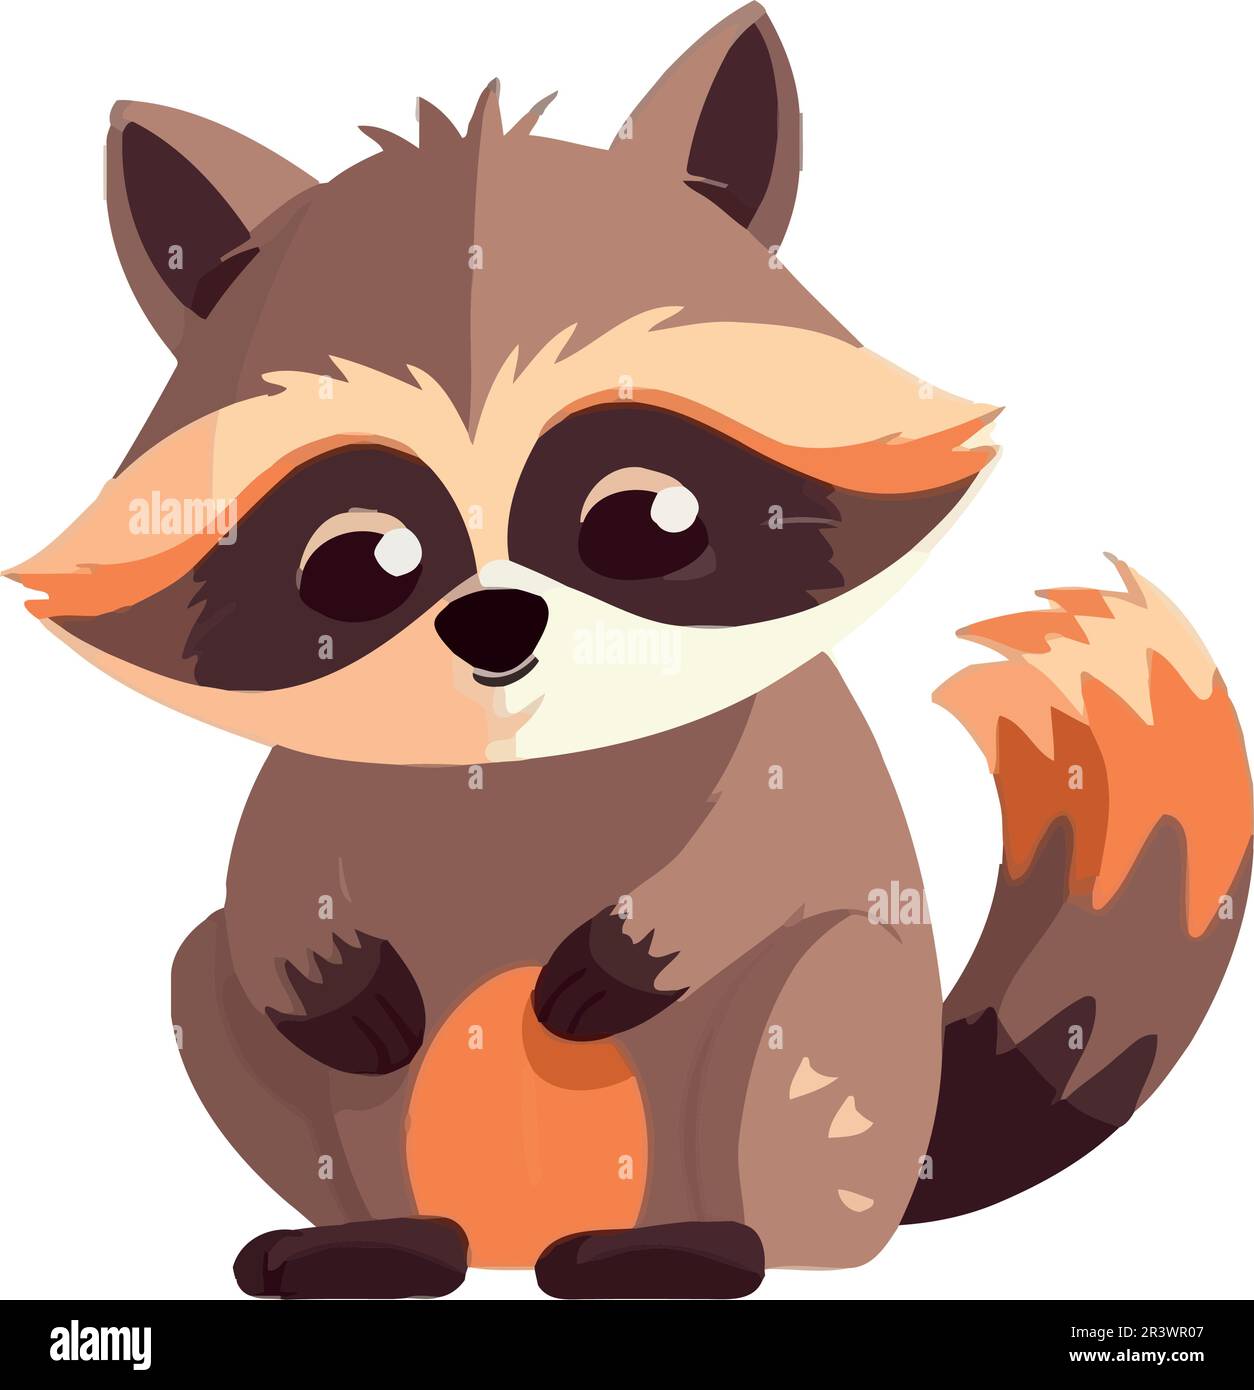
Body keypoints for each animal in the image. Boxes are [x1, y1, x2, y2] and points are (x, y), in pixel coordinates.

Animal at [8, 3, 1250, 1298]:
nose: (495, 626)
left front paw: (641, 942)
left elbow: (760, 840)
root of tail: (517, 1239)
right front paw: (314, 961)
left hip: (844, 1079)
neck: (511, 768)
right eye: (356, 559)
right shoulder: (329, 773)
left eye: (644, 518)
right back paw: (383, 1239)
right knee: (205, 975)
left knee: (814, 997)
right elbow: (269, 868)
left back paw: (697, 1242)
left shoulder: (771, 736)